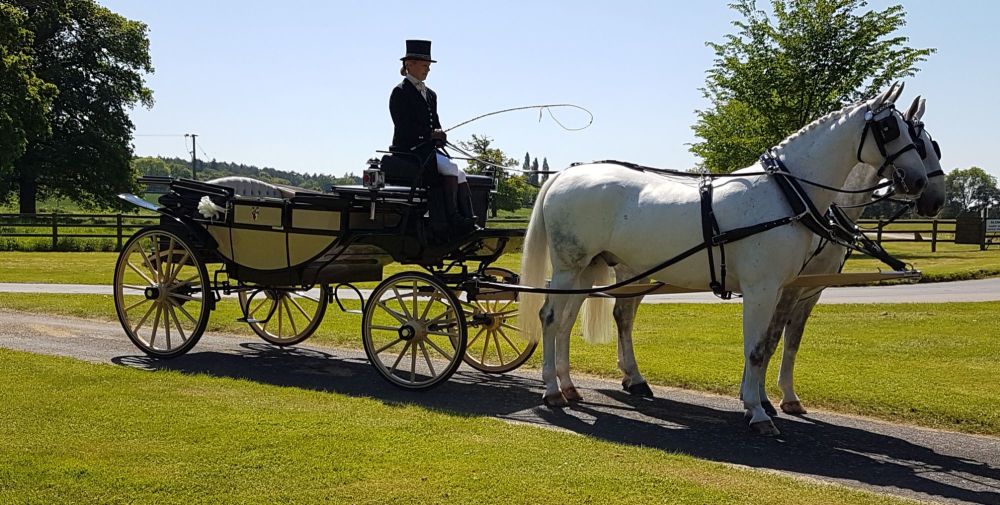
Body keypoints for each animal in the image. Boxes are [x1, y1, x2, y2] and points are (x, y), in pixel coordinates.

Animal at [519, 83, 928, 435]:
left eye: (921, 138)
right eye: (890, 128)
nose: (920, 183)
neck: (783, 195)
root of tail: (564, 175)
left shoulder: (782, 288)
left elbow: (767, 344)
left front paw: (759, 402)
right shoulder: (762, 288)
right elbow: (758, 348)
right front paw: (759, 411)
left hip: (589, 267)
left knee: (565, 322)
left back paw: (569, 387)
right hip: (570, 266)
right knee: (550, 317)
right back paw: (552, 391)